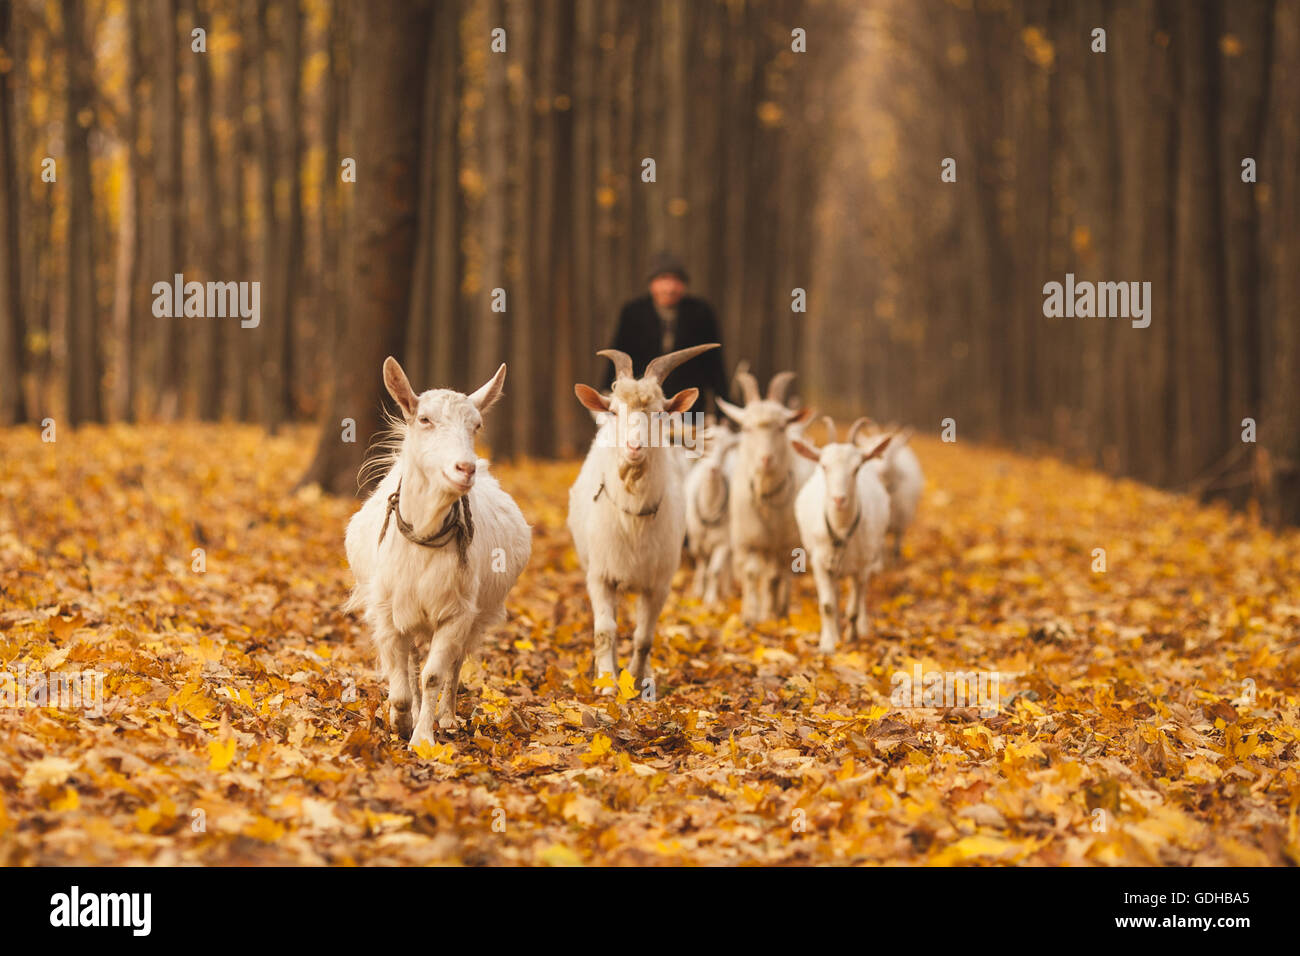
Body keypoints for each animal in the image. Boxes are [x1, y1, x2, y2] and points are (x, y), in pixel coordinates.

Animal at [344, 357, 531, 747]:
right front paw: (402, 721)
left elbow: (433, 675)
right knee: (413, 661)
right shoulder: (387, 612)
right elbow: (401, 680)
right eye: (425, 419)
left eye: (477, 425)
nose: (465, 468)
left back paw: (446, 716)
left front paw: (422, 738)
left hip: (476, 615)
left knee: (454, 663)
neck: (423, 538)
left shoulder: (456, 613)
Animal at [567, 343, 719, 696]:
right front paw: (608, 684)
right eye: (613, 410)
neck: (633, 520)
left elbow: (644, 636)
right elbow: (605, 630)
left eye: (660, 412)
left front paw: (637, 680)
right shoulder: (600, 575)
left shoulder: (659, 583)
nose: (634, 447)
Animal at [716, 369, 812, 623]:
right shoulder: (745, 541)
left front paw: (769, 614)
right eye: (746, 428)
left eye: (781, 428)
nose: (766, 459)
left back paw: (780, 608)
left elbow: (774, 576)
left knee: (782, 575)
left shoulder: (783, 543)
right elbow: (751, 574)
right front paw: (750, 615)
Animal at [791, 418, 893, 653]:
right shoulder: (820, 562)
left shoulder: (862, 565)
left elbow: (855, 606)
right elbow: (828, 605)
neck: (841, 530)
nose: (839, 499)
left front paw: (852, 637)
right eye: (824, 466)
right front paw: (828, 643)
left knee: (861, 596)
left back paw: (861, 627)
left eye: (856, 468)